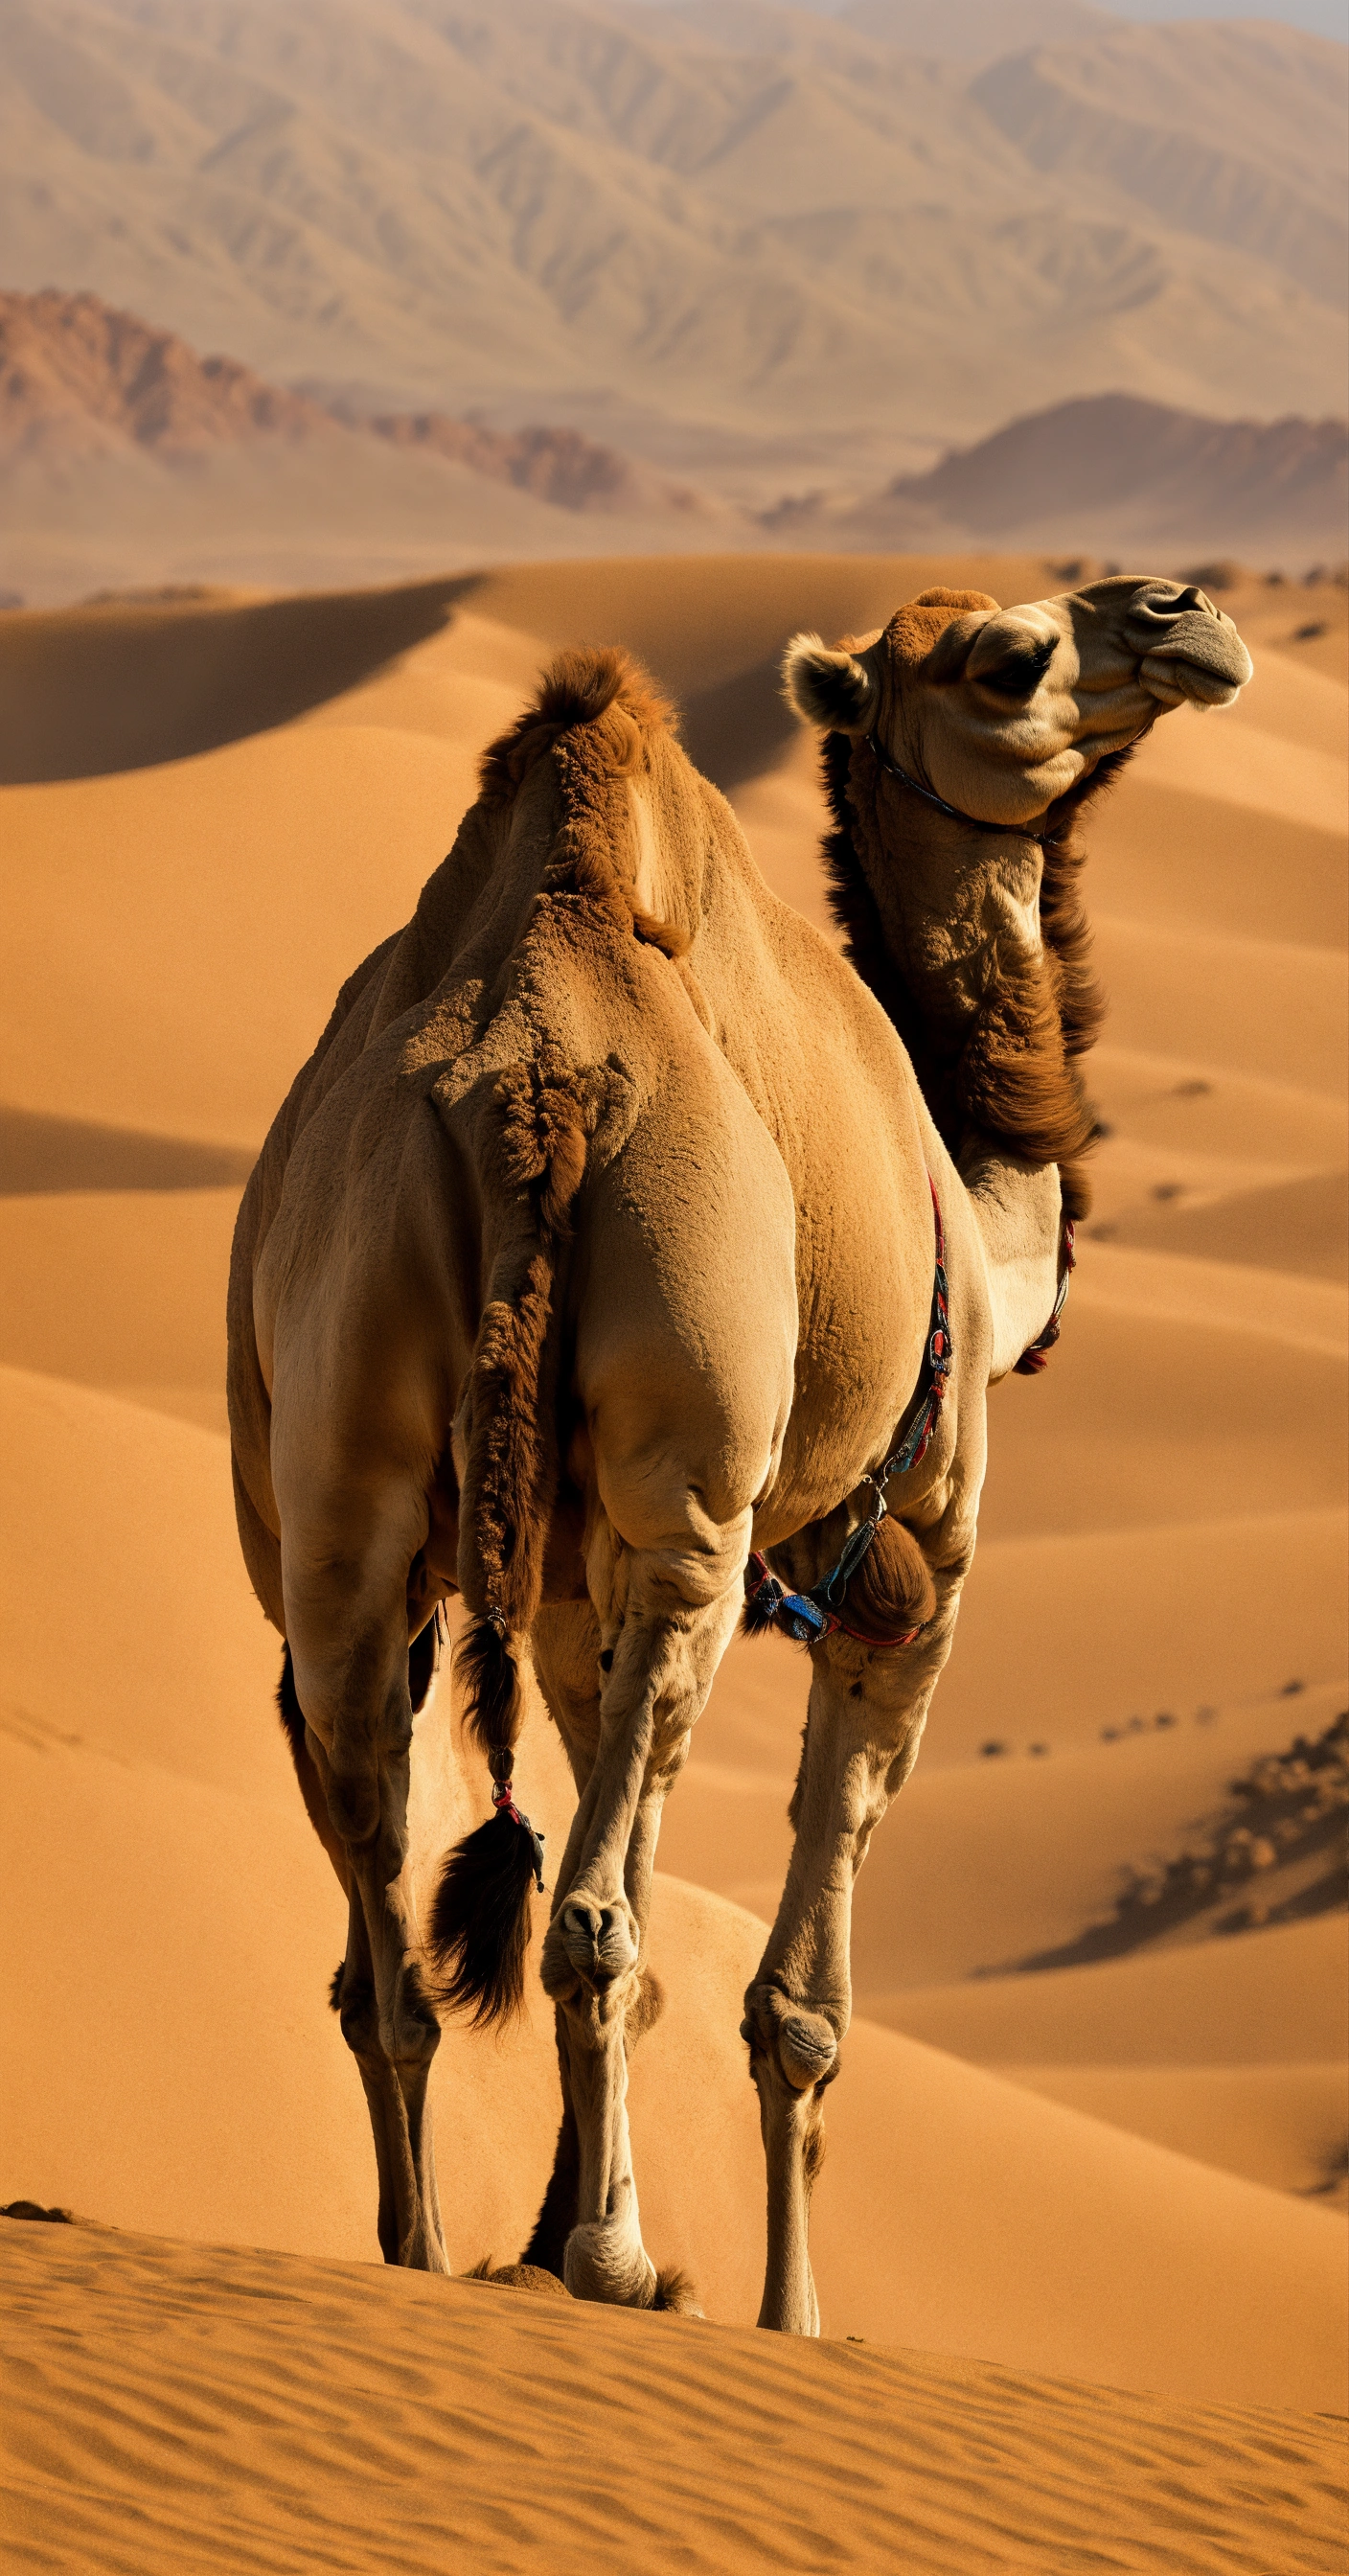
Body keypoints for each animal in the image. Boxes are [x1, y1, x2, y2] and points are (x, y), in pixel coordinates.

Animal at [227, 573, 1252, 2329]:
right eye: (1009, 657)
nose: (1178, 611)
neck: (983, 1238)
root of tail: (529, 1077)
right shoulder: (914, 1570)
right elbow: (798, 2001)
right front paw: (784, 2311)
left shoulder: (571, 1596)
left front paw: (552, 2230)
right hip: (696, 1502)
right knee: (583, 1915)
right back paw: (612, 2255)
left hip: (339, 1493)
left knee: (390, 1884)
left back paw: (428, 2242)